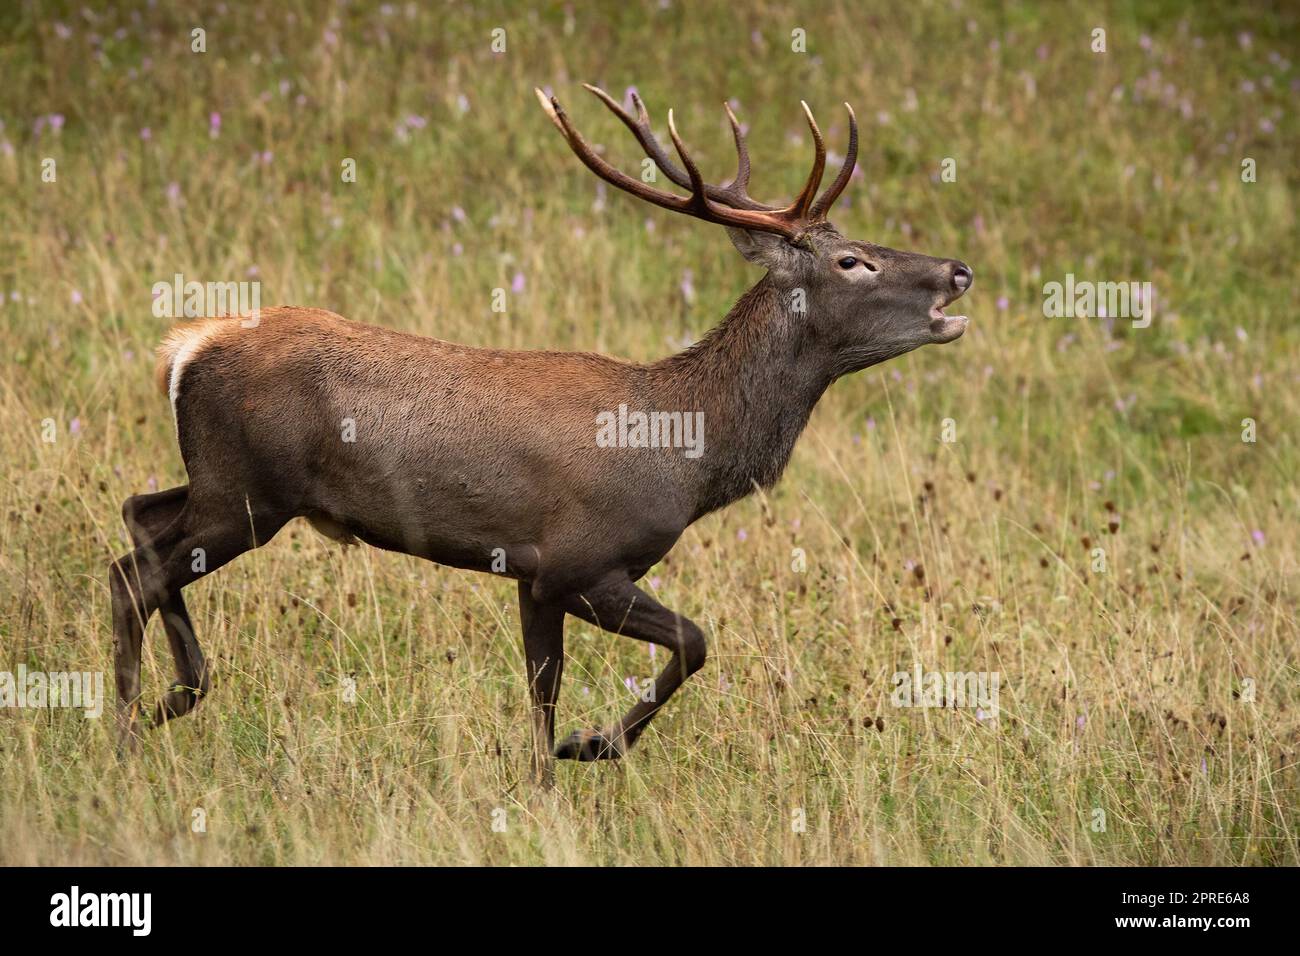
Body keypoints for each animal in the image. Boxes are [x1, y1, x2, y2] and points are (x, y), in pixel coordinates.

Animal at [111, 84, 972, 783]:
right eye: (852, 261)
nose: (958, 270)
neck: (685, 451)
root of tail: (183, 348)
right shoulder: (578, 558)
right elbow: (689, 644)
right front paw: (587, 750)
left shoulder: (530, 573)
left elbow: (541, 689)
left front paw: (544, 780)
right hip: (249, 490)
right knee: (134, 572)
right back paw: (128, 728)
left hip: (222, 483)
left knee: (137, 512)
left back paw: (173, 696)